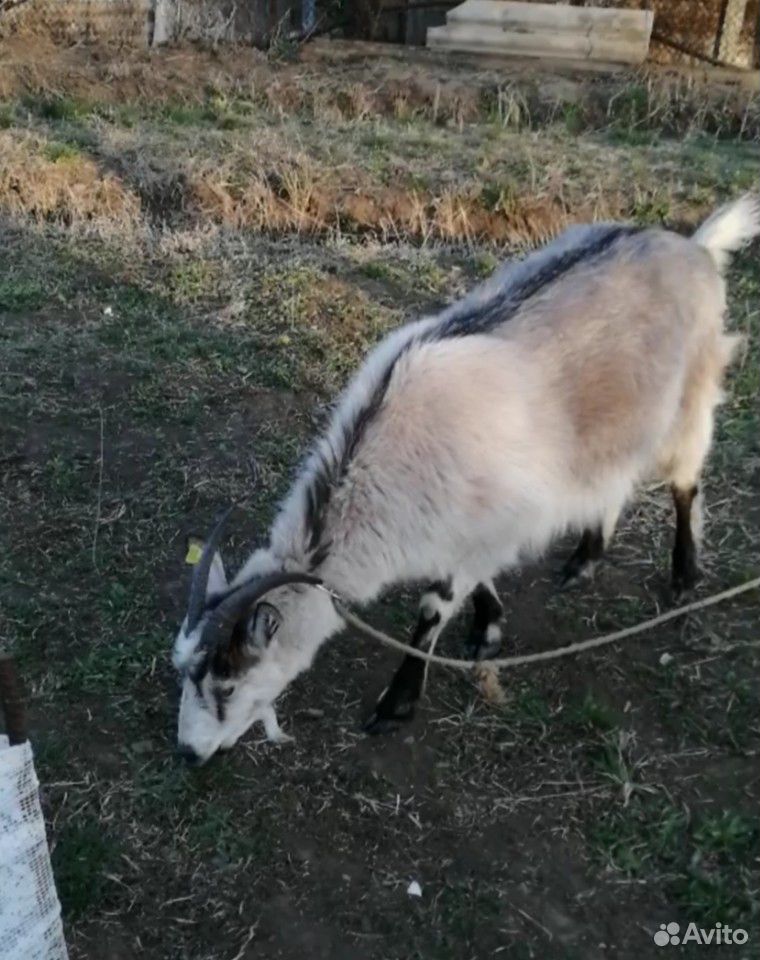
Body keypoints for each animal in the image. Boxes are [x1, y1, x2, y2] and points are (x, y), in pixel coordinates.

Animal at [172, 195, 759, 765]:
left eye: (226, 687)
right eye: (186, 674)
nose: (188, 753)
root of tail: (693, 247)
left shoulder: (488, 522)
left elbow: (435, 606)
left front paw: (396, 705)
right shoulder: (466, 525)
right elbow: (476, 579)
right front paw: (488, 628)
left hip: (689, 398)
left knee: (685, 483)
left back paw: (683, 574)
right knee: (610, 483)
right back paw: (584, 560)